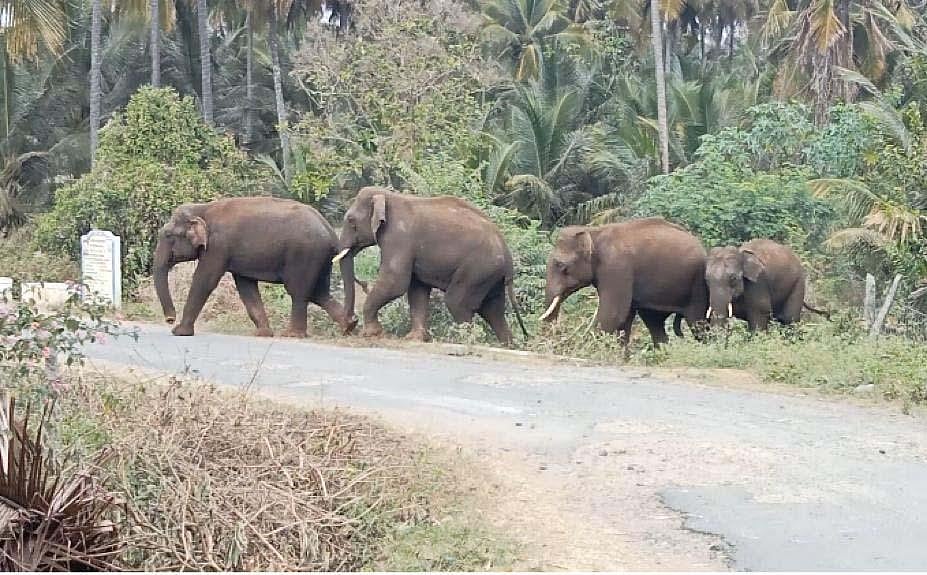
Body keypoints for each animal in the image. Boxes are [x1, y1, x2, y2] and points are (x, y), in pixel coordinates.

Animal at [154, 197, 357, 337]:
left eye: (169, 235)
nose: (169, 319)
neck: (203, 208)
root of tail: (330, 229)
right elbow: (246, 286)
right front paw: (263, 334)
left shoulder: (218, 246)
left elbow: (204, 280)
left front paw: (179, 332)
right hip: (320, 258)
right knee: (319, 292)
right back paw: (349, 325)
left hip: (305, 254)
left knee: (299, 291)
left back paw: (292, 335)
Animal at [333, 187, 528, 345]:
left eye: (351, 220)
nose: (350, 324)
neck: (389, 196)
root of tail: (508, 255)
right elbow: (417, 288)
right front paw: (415, 338)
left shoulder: (399, 238)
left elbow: (395, 282)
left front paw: (371, 334)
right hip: (491, 275)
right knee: (493, 310)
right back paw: (508, 345)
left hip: (478, 269)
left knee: (458, 302)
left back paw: (466, 340)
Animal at [541, 217, 709, 349]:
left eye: (561, 265)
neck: (594, 232)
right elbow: (625, 318)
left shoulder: (616, 266)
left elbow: (612, 315)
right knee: (654, 321)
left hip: (696, 286)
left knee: (698, 324)